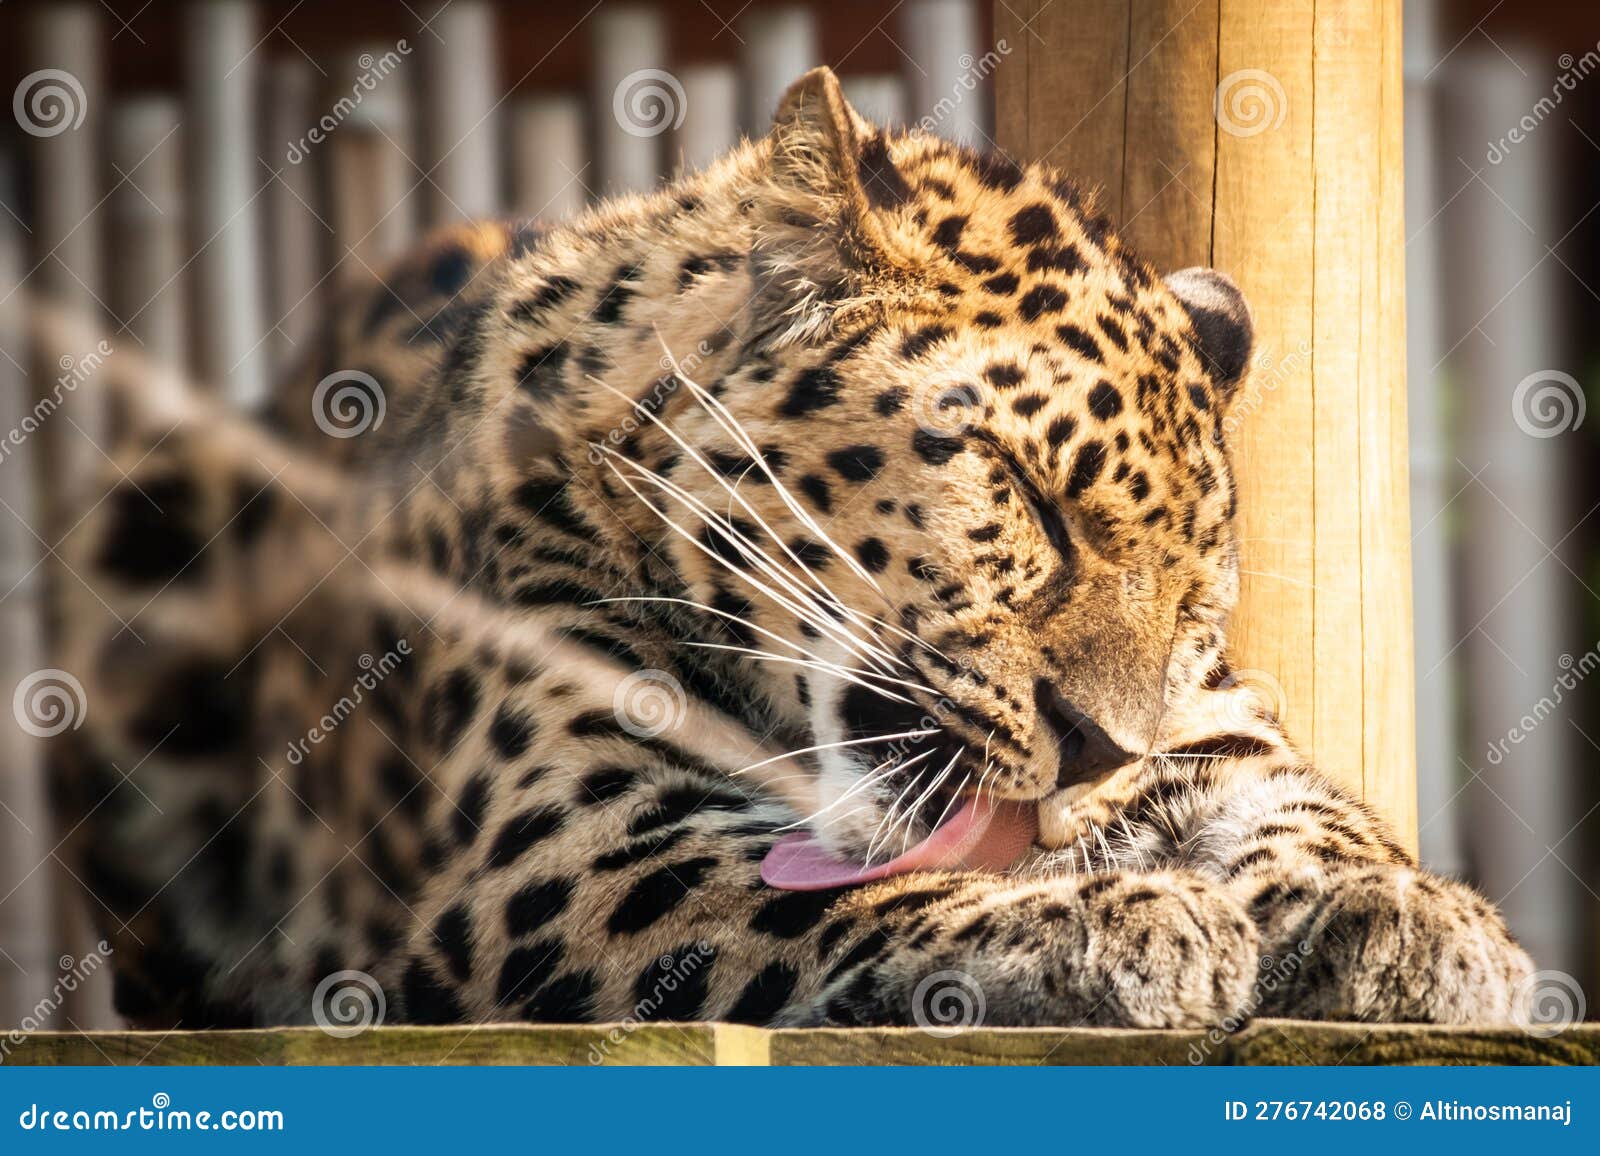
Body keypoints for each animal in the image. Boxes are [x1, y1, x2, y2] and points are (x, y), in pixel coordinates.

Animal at [47, 67, 1534, 1035]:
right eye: (1028, 498)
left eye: (1188, 604)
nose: (1099, 753)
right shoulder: (568, 849)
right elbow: (850, 902)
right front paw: (1122, 920)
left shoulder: (1214, 725)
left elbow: (1295, 800)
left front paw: (1415, 920)